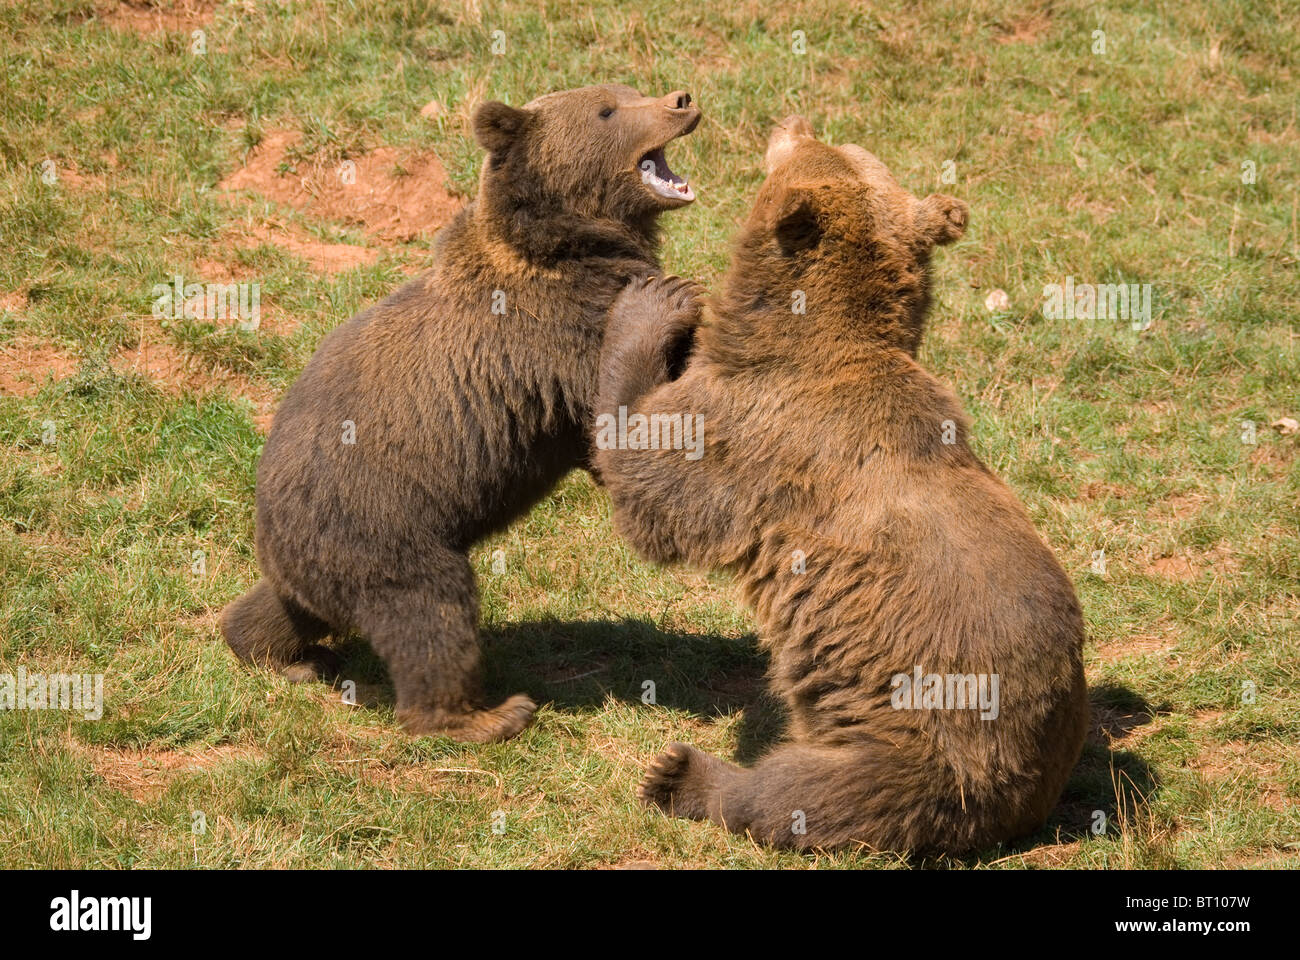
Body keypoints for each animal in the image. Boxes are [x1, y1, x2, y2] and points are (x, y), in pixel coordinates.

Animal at [220, 84, 701, 742]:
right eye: (607, 109)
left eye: (632, 89)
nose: (681, 99)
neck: (572, 244)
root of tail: (267, 520)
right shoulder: (556, 338)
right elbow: (624, 430)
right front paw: (664, 302)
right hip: (381, 523)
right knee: (429, 611)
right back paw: (484, 715)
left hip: (314, 553)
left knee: (285, 607)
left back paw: (279, 653)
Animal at [592, 115, 1088, 854]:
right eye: (850, 145)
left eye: (813, 147)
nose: (791, 119)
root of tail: (1028, 804)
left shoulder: (749, 438)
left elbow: (645, 480)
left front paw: (651, 304)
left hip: (918, 737)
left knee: (807, 791)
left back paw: (681, 775)